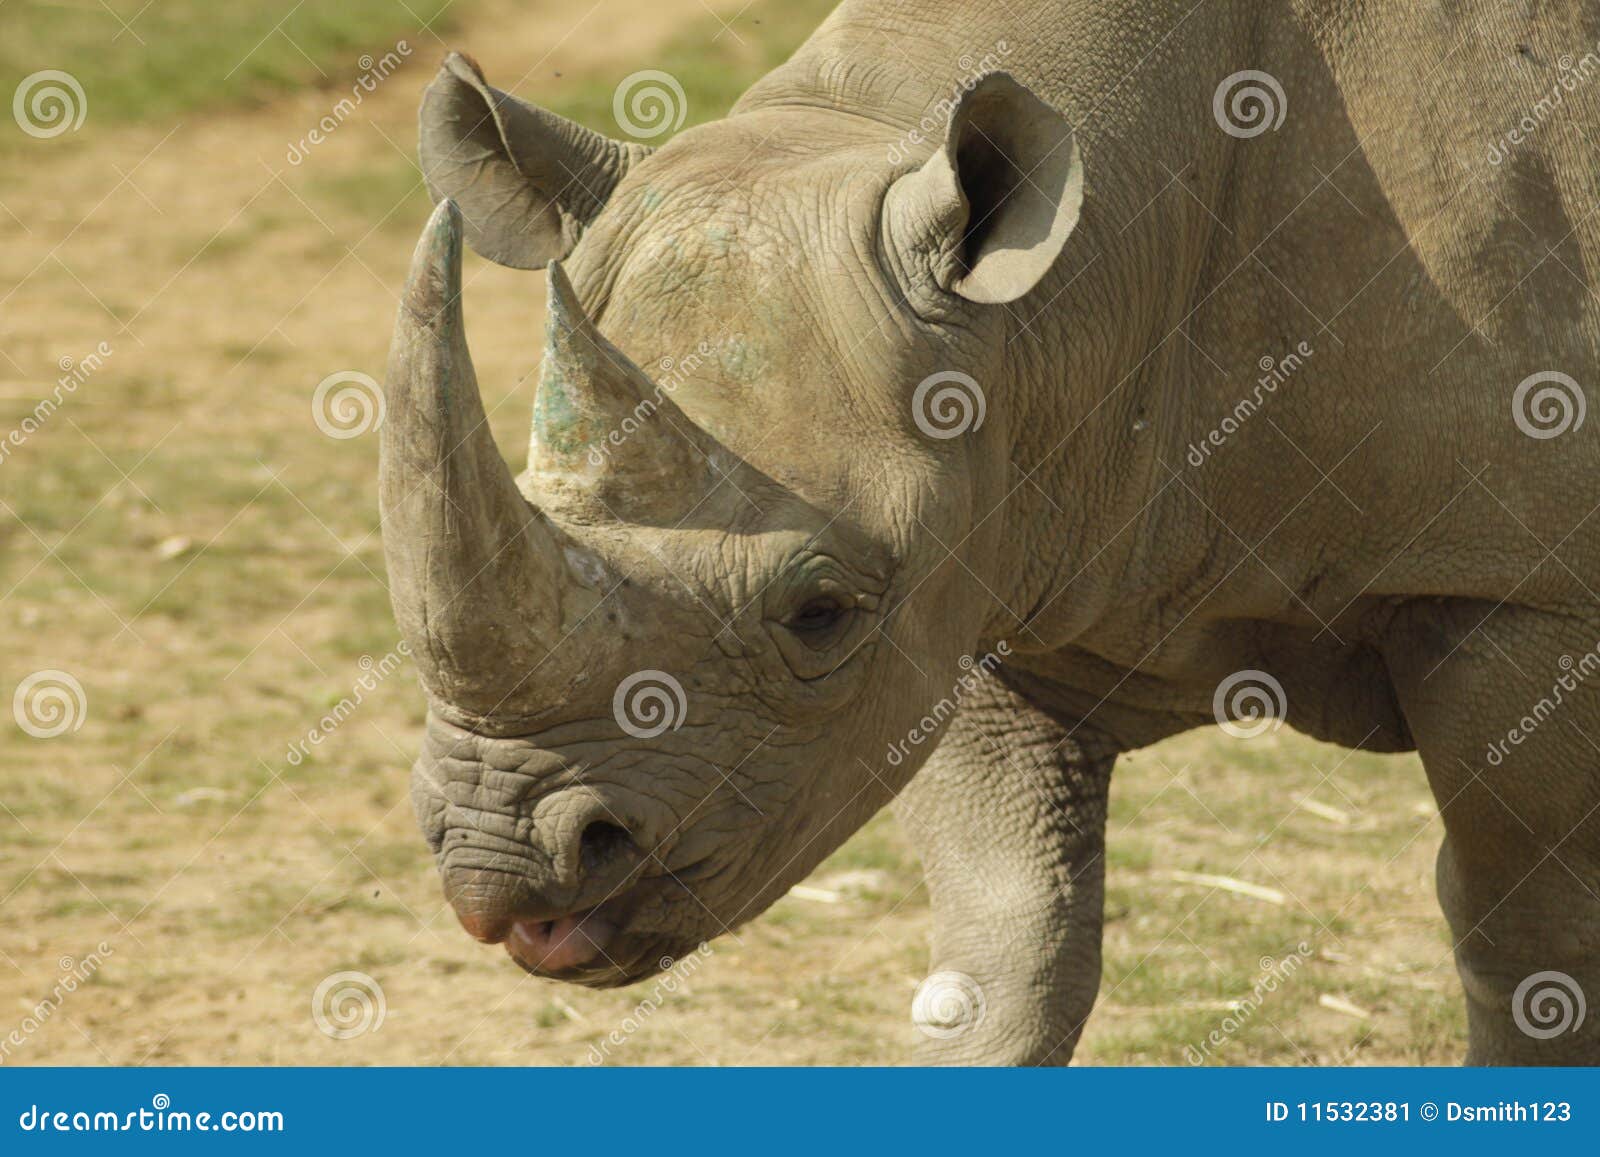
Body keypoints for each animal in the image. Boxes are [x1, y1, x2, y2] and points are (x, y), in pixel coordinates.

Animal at [380, 0, 1600, 1064]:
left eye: (820, 615)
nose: (497, 863)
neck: (1065, 303)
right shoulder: (980, 549)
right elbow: (1006, 946)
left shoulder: (1521, 593)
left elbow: (1528, 945)